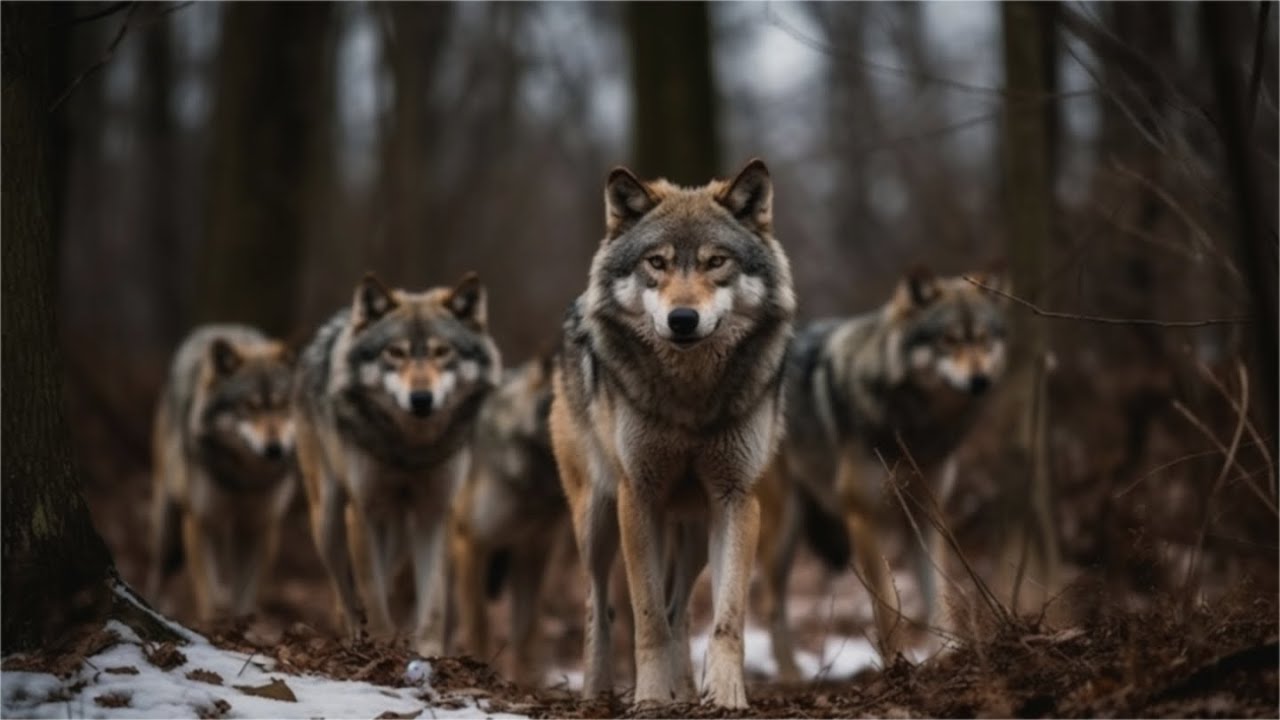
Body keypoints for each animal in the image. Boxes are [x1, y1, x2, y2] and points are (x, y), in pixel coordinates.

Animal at [147, 324, 296, 621]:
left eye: (284, 405)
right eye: (249, 407)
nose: (275, 449)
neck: (245, 478)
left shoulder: (259, 527)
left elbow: (245, 597)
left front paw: (241, 626)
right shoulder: (201, 521)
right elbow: (209, 593)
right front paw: (213, 625)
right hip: (168, 530)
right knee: (158, 570)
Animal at [294, 272, 500, 656]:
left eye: (441, 352)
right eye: (395, 352)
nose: (421, 399)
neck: (410, 449)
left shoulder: (434, 513)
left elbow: (433, 601)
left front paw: (430, 653)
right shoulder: (365, 511)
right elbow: (372, 592)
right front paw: (379, 643)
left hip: (400, 531)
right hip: (328, 519)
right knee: (344, 590)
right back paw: (353, 634)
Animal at [451, 351, 564, 686]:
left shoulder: (533, 552)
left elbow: (525, 633)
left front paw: (526, 685)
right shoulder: (472, 545)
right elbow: (478, 625)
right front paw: (477, 671)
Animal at [550, 159, 795, 709]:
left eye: (716, 262)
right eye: (657, 263)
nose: (683, 319)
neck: (690, 397)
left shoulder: (735, 498)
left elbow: (726, 620)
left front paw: (725, 696)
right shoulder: (638, 495)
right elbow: (646, 619)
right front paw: (651, 698)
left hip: (694, 530)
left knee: (680, 607)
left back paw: (686, 689)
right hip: (597, 518)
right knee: (600, 604)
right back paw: (597, 692)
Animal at [756, 268, 1010, 678]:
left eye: (984, 339)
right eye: (948, 340)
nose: (979, 381)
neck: (915, 426)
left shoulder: (926, 516)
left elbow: (938, 594)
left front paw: (950, 658)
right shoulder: (861, 516)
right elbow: (888, 604)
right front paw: (897, 666)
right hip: (782, 526)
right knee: (767, 602)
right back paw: (791, 678)